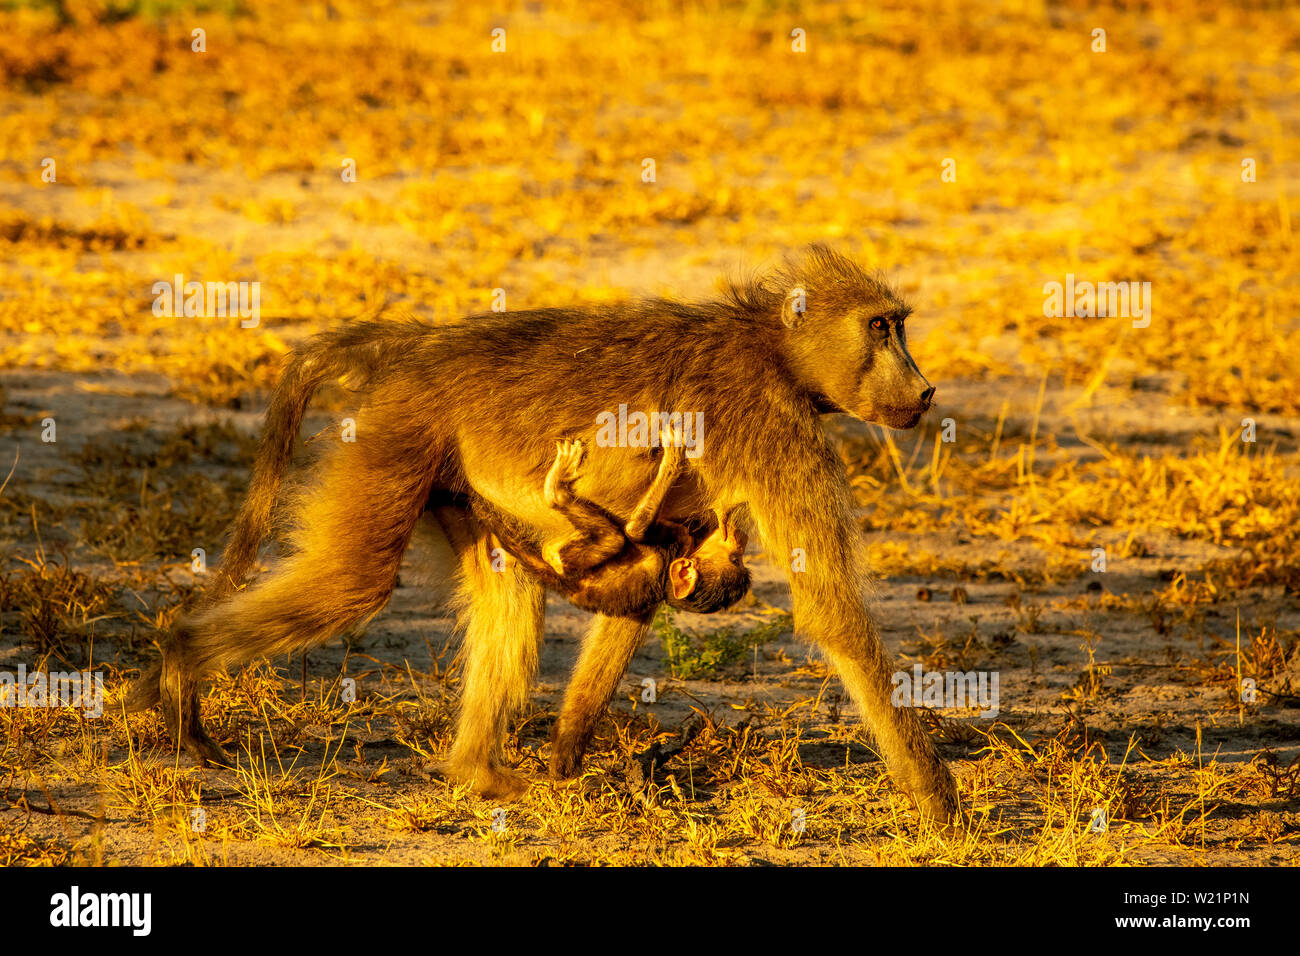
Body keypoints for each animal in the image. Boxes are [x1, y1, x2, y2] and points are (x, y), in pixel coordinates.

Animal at [441, 436, 750, 620]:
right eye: (738, 559)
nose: (741, 539)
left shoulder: (676, 541)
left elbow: (635, 531)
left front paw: (672, 462)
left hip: (568, 565)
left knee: (613, 539)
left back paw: (557, 491)